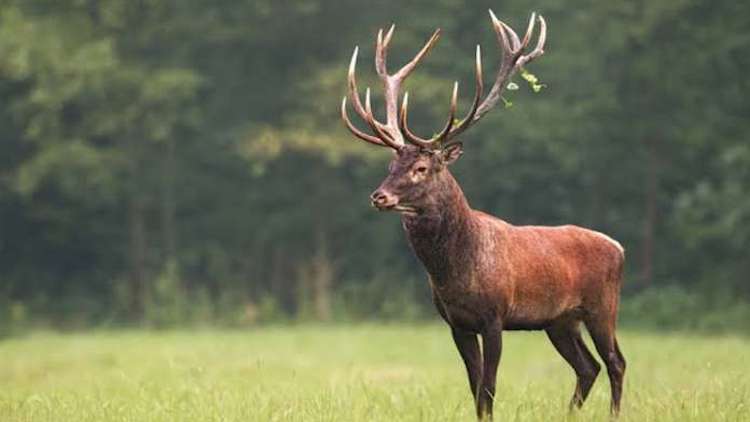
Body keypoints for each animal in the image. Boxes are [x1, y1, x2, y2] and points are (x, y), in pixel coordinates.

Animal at [342, 9, 628, 418]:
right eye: (390, 165)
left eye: (421, 168)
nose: (378, 197)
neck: (456, 272)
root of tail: (619, 247)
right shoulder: (456, 323)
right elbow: (474, 387)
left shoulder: (495, 316)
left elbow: (490, 386)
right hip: (559, 321)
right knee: (588, 367)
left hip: (602, 306)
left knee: (616, 362)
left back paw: (614, 413)